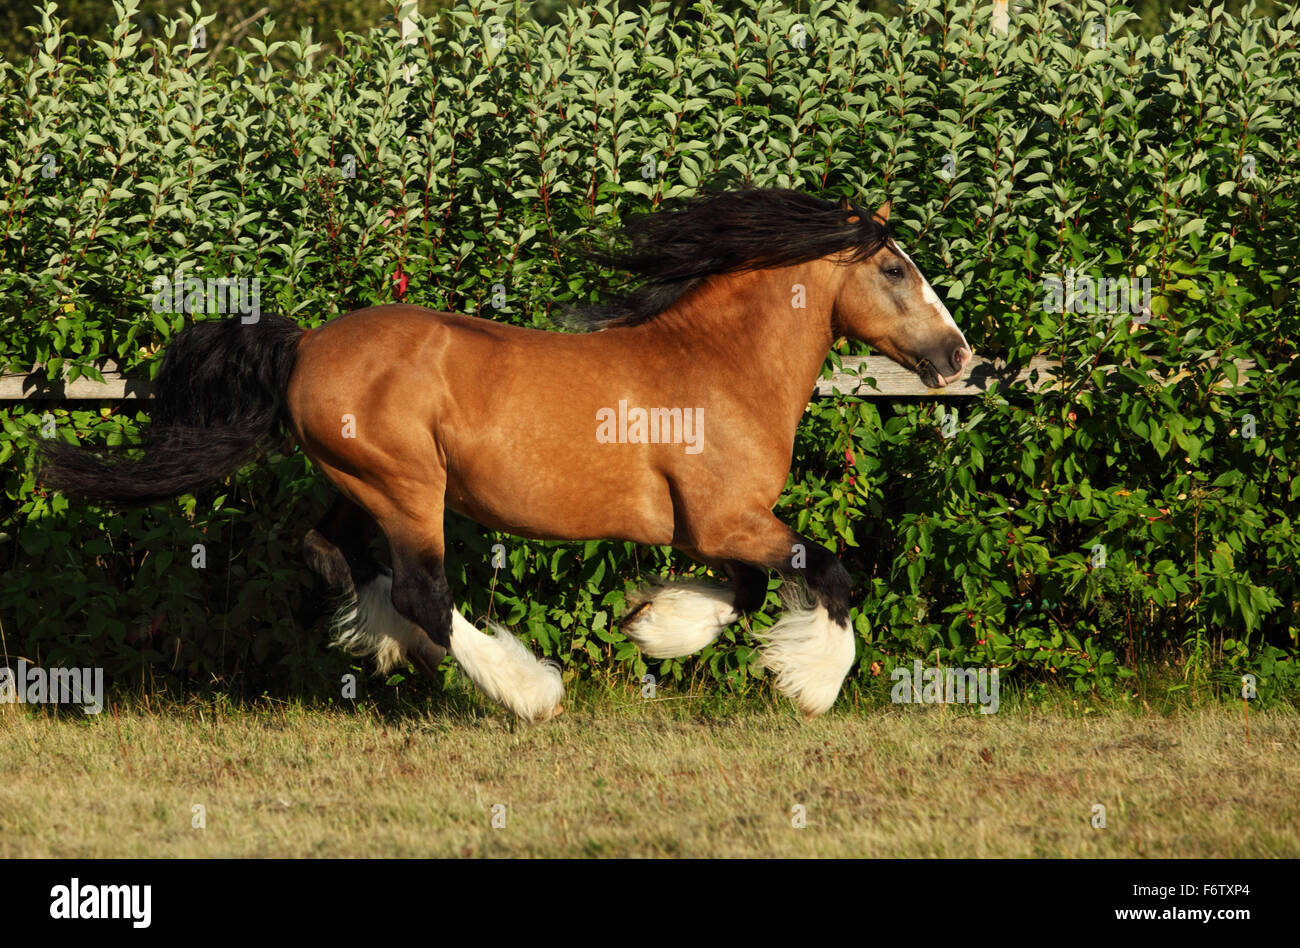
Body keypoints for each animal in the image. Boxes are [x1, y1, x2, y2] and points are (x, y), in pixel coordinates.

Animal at [40, 188, 972, 722]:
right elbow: (831, 574)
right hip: (407, 487)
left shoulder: (714, 531)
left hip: (364, 482)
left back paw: (389, 647)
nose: (958, 356)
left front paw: (651, 624)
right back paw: (529, 692)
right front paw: (811, 684)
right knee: (422, 590)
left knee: (333, 552)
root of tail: (304, 345)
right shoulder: (726, 521)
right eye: (895, 269)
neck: (715, 366)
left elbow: (743, 593)